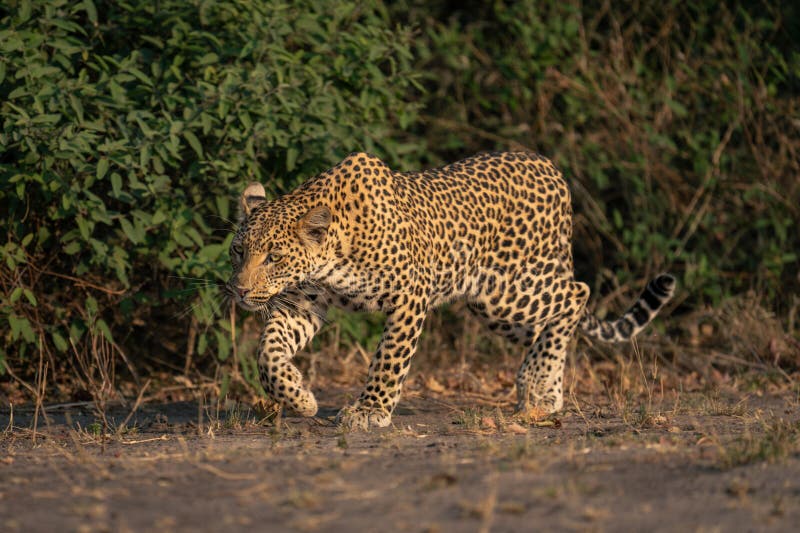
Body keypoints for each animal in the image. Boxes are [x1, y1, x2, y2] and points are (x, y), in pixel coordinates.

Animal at [226, 151, 675, 431]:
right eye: (238, 251)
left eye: (273, 257)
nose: (240, 291)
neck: (332, 253)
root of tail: (552, 170)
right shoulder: (304, 303)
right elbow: (268, 353)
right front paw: (299, 396)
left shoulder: (410, 295)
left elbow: (389, 359)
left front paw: (370, 411)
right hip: (492, 306)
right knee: (555, 321)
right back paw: (544, 390)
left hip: (508, 292)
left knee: (577, 293)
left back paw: (540, 382)